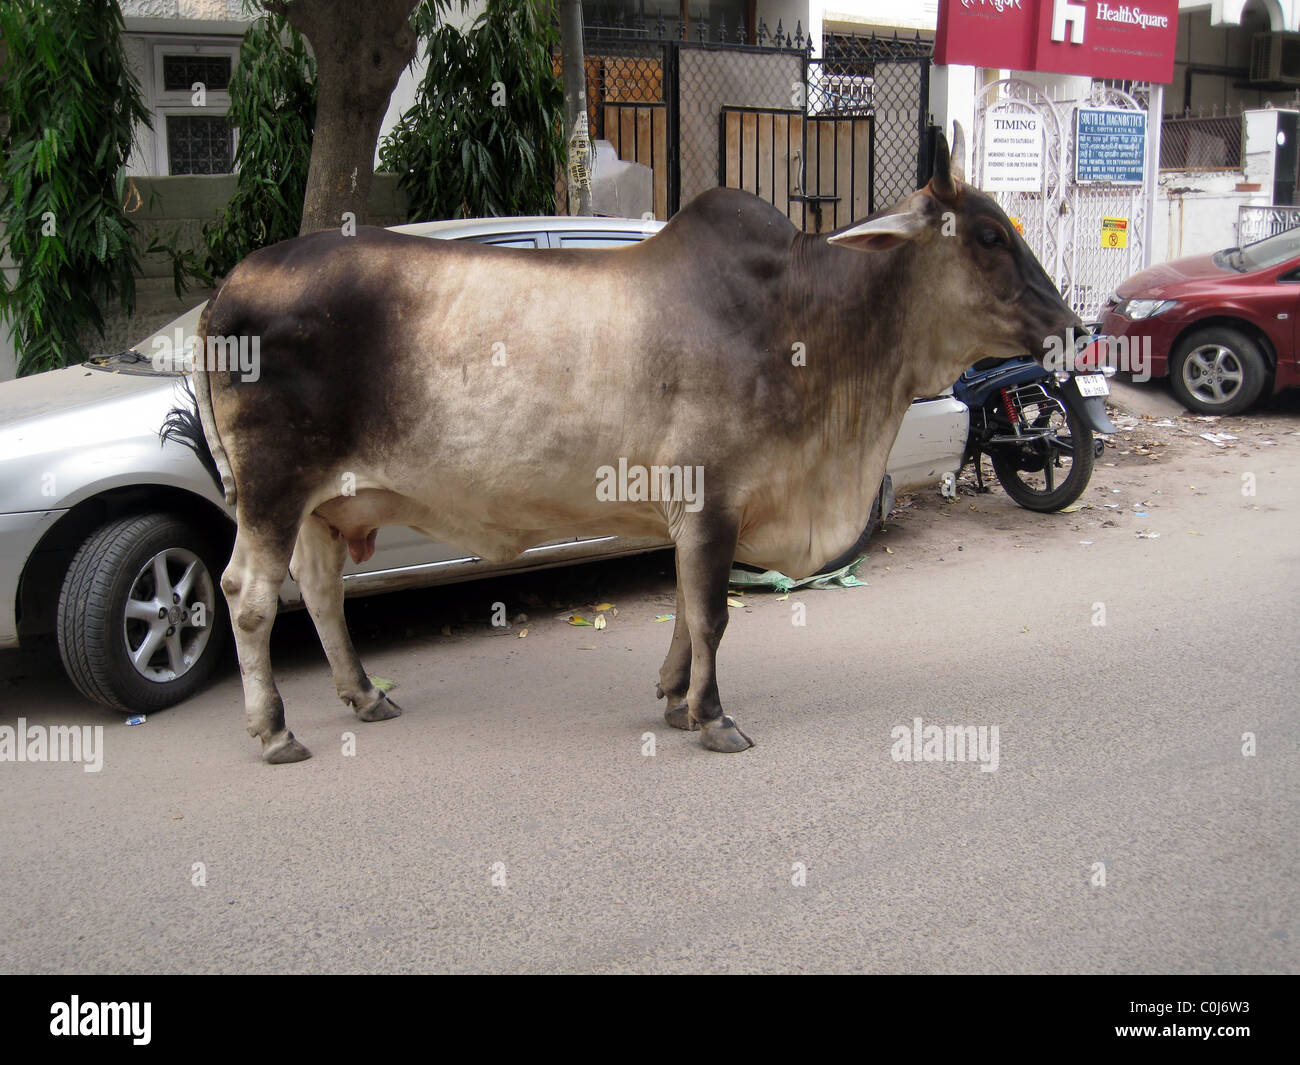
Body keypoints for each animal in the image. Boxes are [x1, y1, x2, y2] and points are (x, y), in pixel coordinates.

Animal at [183, 130, 1081, 763]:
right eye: (989, 237)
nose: (1073, 323)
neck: (807, 321)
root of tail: (227, 287)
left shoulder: (695, 513)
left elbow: (685, 605)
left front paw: (673, 695)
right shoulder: (713, 500)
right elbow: (712, 611)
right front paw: (712, 716)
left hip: (324, 502)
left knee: (319, 590)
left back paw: (363, 694)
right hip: (272, 489)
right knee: (248, 594)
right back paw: (275, 731)